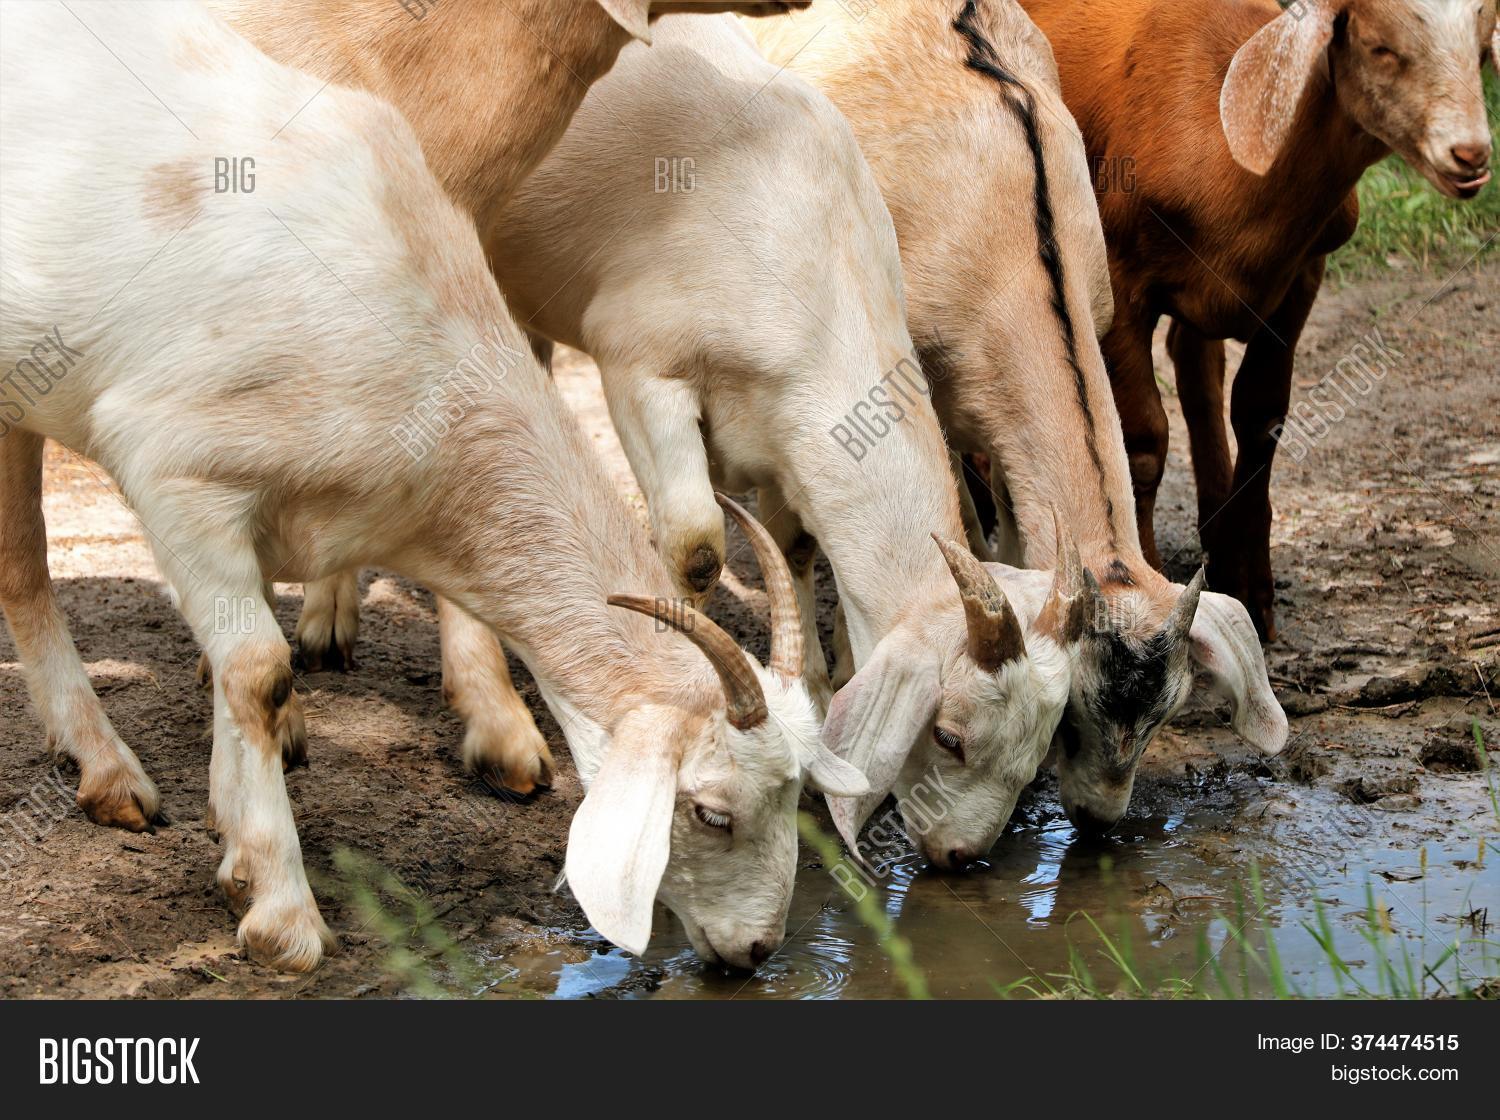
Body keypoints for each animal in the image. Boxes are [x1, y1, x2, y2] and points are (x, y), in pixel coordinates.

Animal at [1018, 0, 1497, 639]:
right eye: (1380, 47)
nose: (1471, 154)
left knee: (1195, 361)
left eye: (1482, 48)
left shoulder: (1302, 277)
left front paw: (1249, 587)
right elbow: (1140, 439)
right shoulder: (1117, 276)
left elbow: (1261, 417)